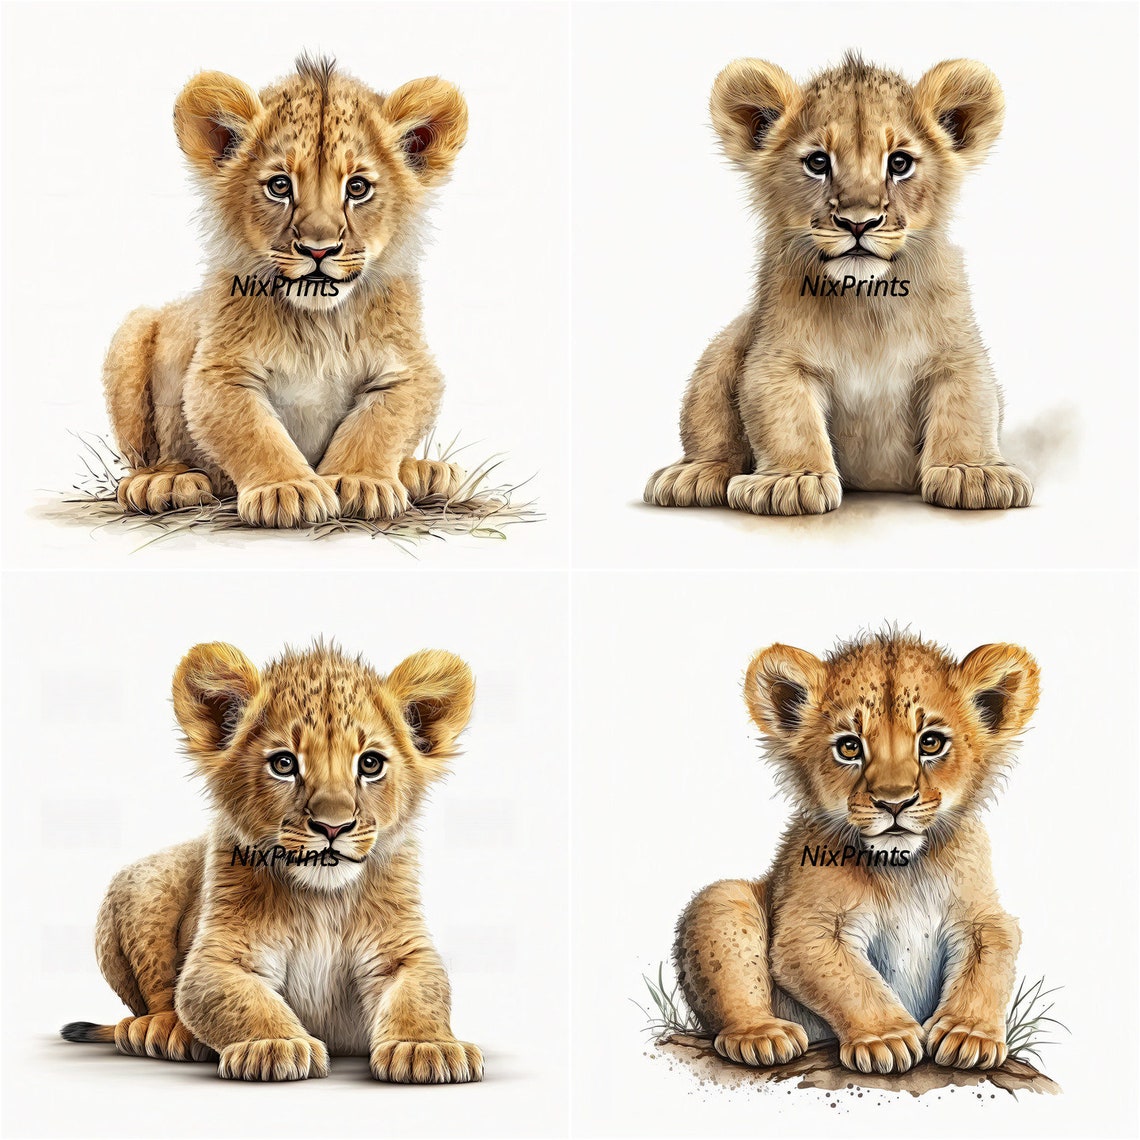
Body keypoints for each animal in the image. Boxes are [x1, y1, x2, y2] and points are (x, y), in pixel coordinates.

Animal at [61, 640, 484, 1083]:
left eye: (370, 764)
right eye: (284, 764)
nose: (333, 826)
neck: (323, 900)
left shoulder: (404, 949)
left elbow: (421, 993)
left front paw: (426, 1047)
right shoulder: (218, 956)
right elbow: (241, 1000)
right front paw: (273, 1045)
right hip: (140, 886)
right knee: (156, 994)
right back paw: (163, 1029)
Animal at [104, 54, 468, 527]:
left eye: (357, 188)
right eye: (279, 186)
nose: (318, 249)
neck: (319, 322)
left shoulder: (410, 371)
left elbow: (379, 423)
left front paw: (358, 480)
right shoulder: (219, 373)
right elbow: (253, 431)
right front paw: (286, 489)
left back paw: (423, 472)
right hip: (132, 333)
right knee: (147, 455)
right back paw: (164, 481)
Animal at [646, 53, 1032, 515]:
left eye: (899, 163)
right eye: (818, 162)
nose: (858, 222)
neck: (866, 302)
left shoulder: (958, 352)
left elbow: (968, 404)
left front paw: (971, 472)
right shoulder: (776, 357)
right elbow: (785, 415)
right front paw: (793, 481)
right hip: (730, 341)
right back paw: (695, 474)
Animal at [674, 631, 1039, 1074]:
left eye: (931, 742)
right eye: (849, 747)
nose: (894, 803)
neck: (902, 869)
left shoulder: (982, 917)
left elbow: (987, 965)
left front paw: (969, 1034)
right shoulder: (807, 929)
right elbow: (852, 981)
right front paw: (887, 1038)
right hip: (723, 901)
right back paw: (761, 1036)